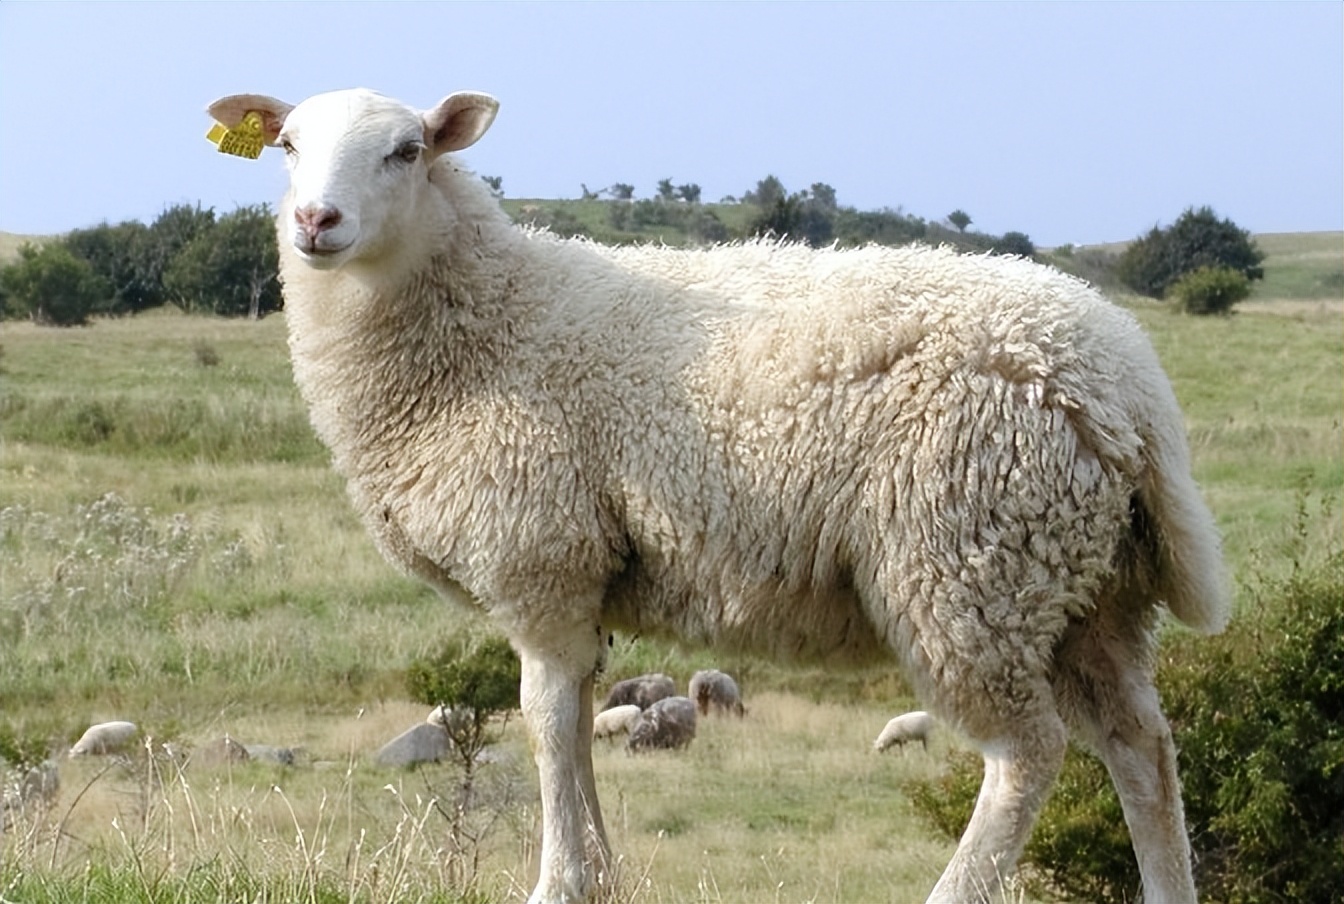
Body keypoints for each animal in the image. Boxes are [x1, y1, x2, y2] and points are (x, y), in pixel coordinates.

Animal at [206, 86, 1228, 904]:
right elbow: (577, 727)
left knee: (1029, 754)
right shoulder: (580, 580)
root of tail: (1125, 381)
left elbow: (546, 724)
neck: (490, 320)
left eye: (407, 150)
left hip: (969, 563)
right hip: (1082, 588)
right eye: (286, 144)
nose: (316, 221)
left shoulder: (540, 559)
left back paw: (956, 887)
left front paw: (559, 883)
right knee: (1142, 747)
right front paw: (600, 877)